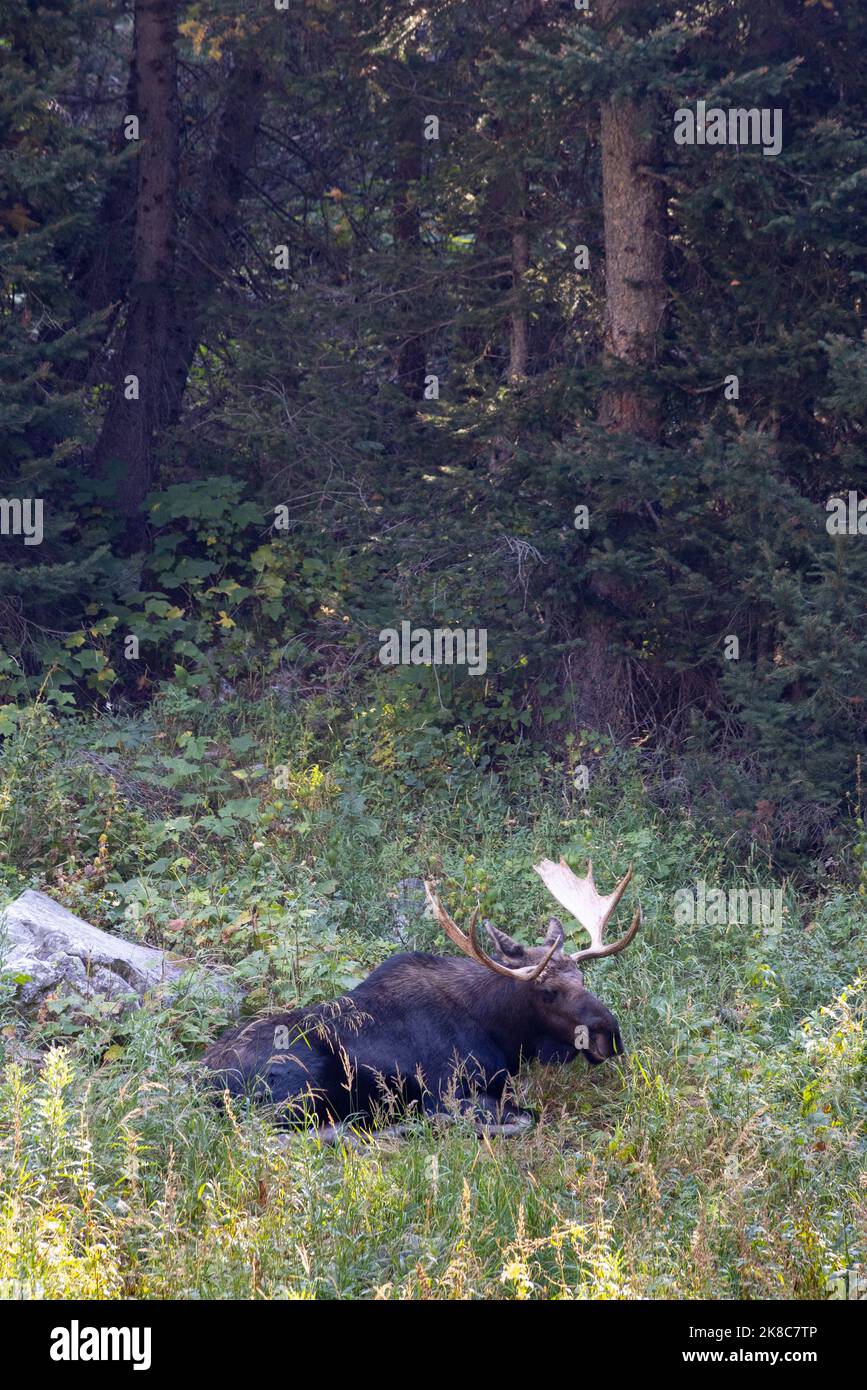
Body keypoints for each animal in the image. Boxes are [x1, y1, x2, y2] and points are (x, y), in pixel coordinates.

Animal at [201, 857, 641, 1139]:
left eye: (582, 977)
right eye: (548, 992)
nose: (610, 1035)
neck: (503, 1034)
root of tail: (197, 1083)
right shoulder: (449, 1091)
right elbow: (523, 1119)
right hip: (301, 1085)